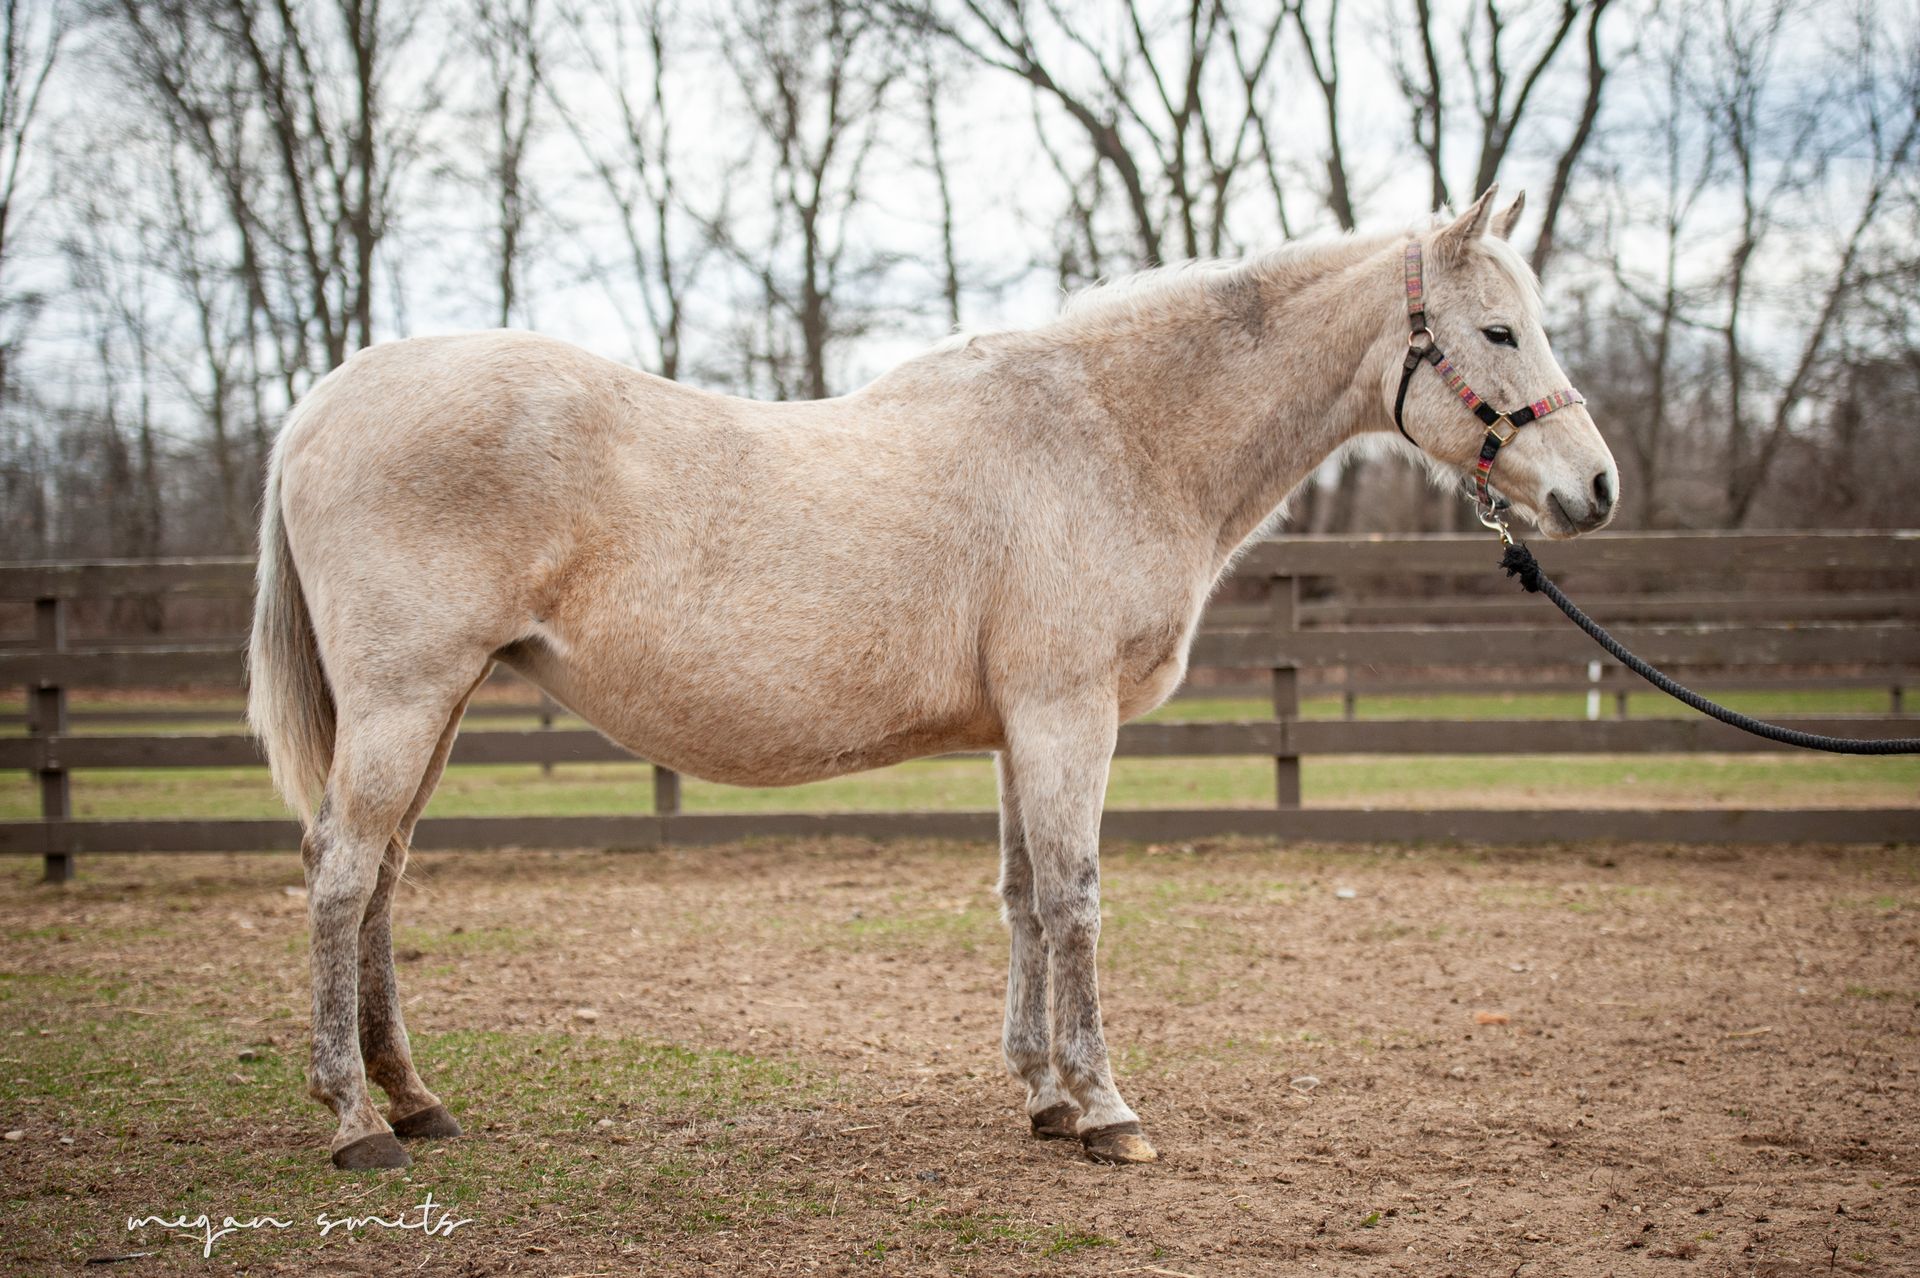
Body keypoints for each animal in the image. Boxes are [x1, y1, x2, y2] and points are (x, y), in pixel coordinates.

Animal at [248, 186, 1618, 1171]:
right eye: (1500, 330)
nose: (1594, 491)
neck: (1113, 434)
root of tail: (322, 401)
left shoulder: (1023, 728)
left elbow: (1020, 901)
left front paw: (1044, 1099)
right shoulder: (1067, 715)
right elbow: (1074, 901)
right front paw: (1106, 1109)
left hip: (437, 707)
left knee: (381, 882)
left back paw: (415, 1101)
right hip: (406, 700)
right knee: (343, 875)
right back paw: (356, 1125)